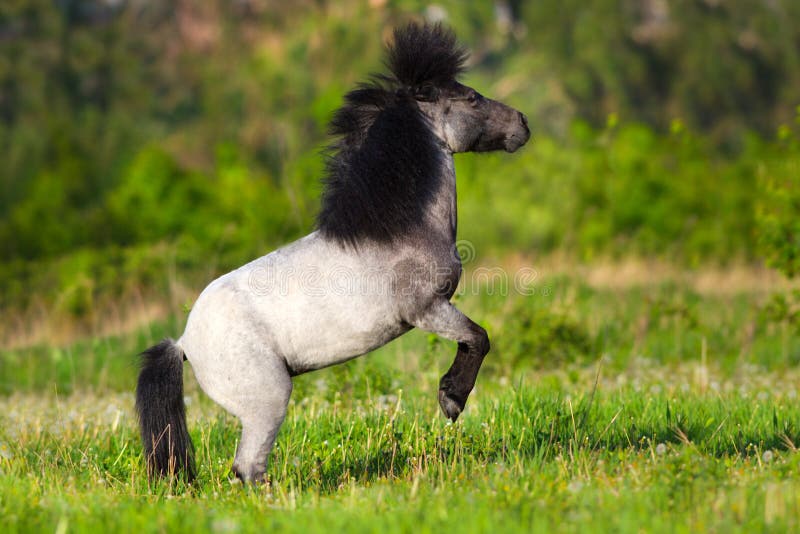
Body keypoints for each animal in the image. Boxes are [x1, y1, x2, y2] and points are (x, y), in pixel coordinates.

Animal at [136, 22, 530, 483]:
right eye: (470, 98)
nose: (523, 123)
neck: (398, 231)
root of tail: (184, 342)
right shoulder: (427, 309)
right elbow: (478, 337)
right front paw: (451, 399)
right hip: (269, 401)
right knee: (248, 466)